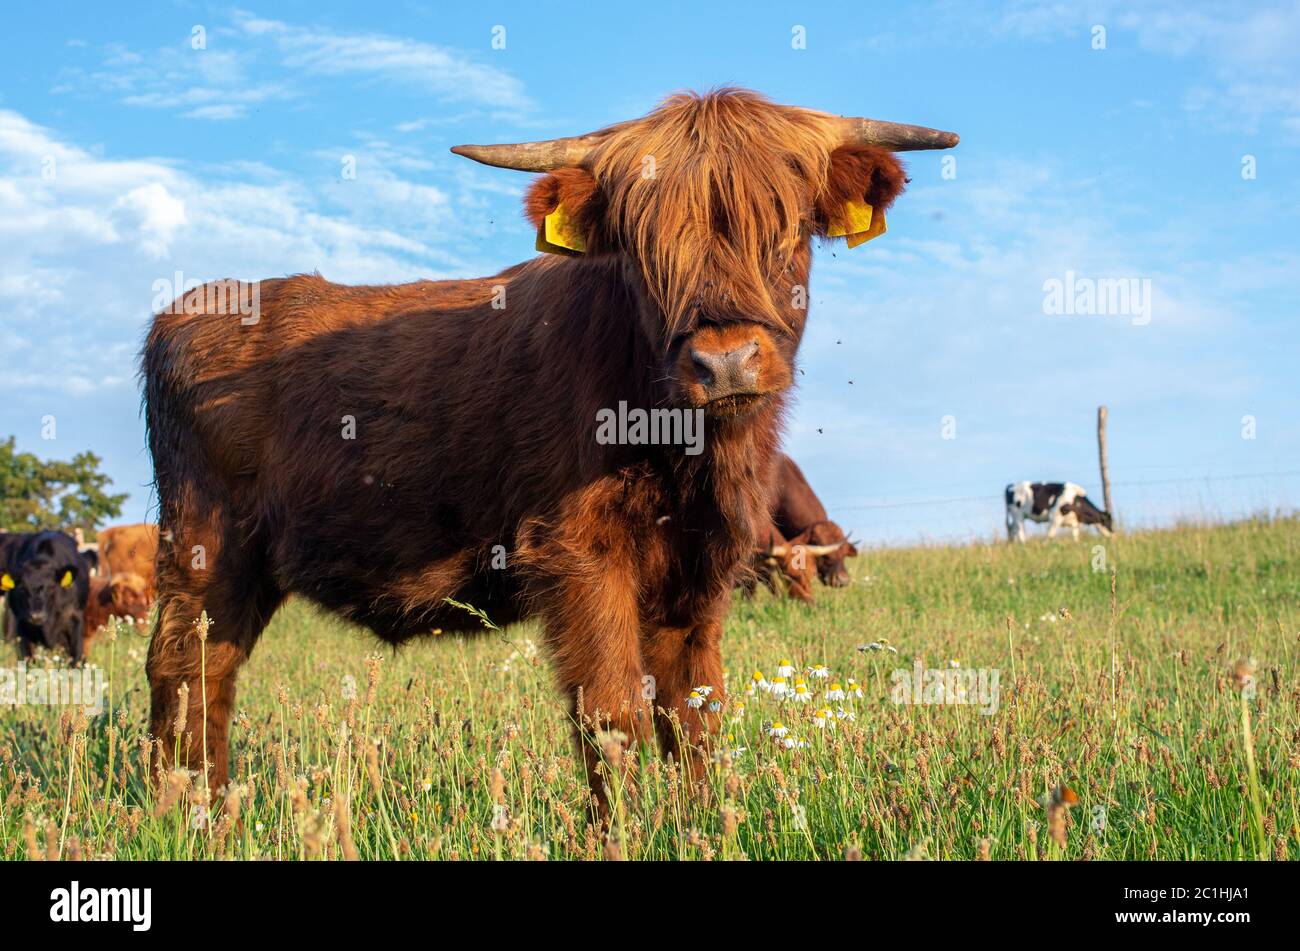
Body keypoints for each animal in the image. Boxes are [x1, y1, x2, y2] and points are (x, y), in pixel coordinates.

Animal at [2, 530, 91, 663]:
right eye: (22, 588)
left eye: (52, 587)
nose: (36, 616)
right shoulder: (22, 625)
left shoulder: (74, 617)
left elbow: (76, 656)